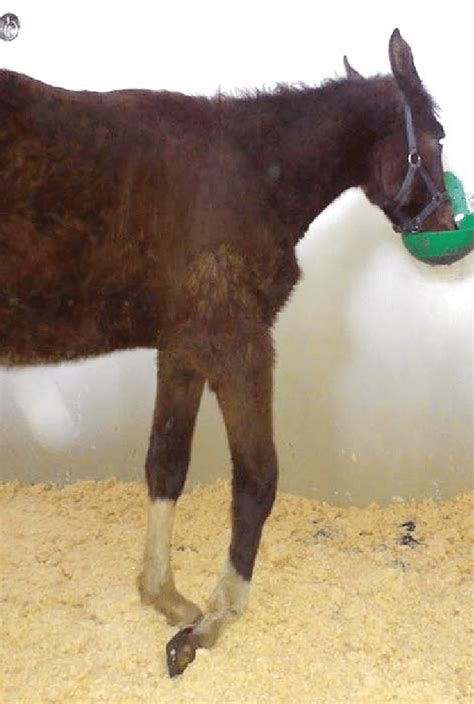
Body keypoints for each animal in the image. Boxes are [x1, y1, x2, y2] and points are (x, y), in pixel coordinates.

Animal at [0, 29, 458, 676]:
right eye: (436, 137)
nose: (448, 231)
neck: (249, 175)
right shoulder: (238, 347)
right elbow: (257, 478)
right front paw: (212, 622)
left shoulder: (183, 349)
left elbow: (166, 462)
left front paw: (164, 596)